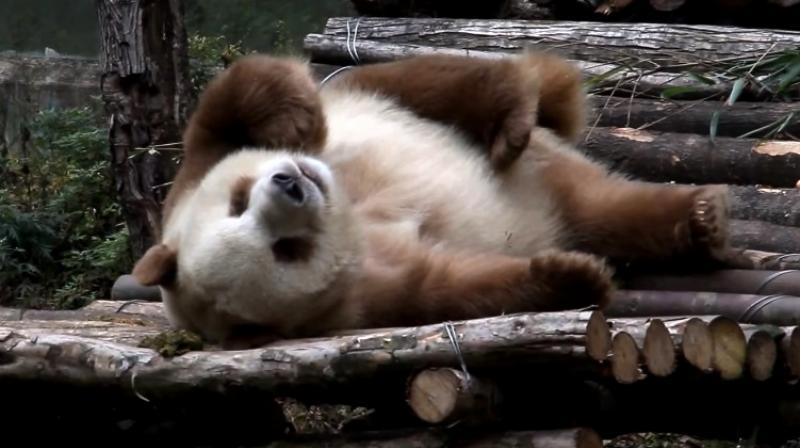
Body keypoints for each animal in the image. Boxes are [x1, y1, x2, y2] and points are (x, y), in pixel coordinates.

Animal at [132, 51, 731, 348]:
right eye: (286, 250)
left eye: (238, 201)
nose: (293, 184)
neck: (351, 216)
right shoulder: (364, 294)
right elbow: (450, 286)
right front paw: (572, 277)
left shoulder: (187, 181)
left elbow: (232, 103)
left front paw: (294, 122)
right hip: (562, 194)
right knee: (604, 211)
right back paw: (699, 222)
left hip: (420, 113)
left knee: (428, 83)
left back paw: (511, 109)